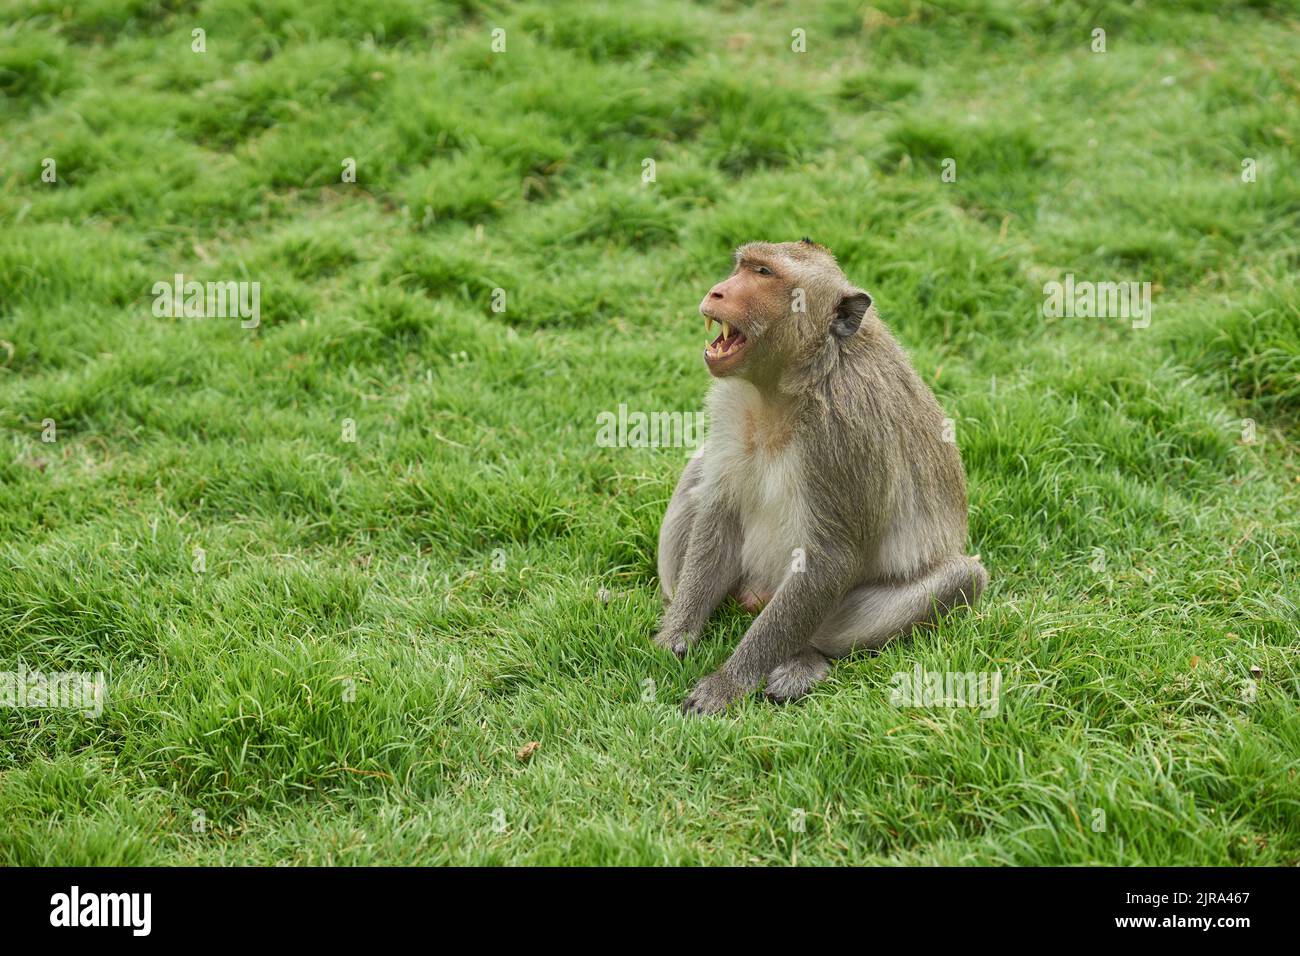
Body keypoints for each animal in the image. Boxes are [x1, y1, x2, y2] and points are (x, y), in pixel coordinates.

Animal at [655, 238, 988, 715]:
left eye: (762, 273)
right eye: (743, 266)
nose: (718, 290)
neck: (790, 382)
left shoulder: (846, 429)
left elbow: (831, 559)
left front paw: (728, 682)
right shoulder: (730, 401)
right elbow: (720, 509)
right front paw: (676, 634)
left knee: (961, 578)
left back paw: (805, 659)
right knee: (701, 466)